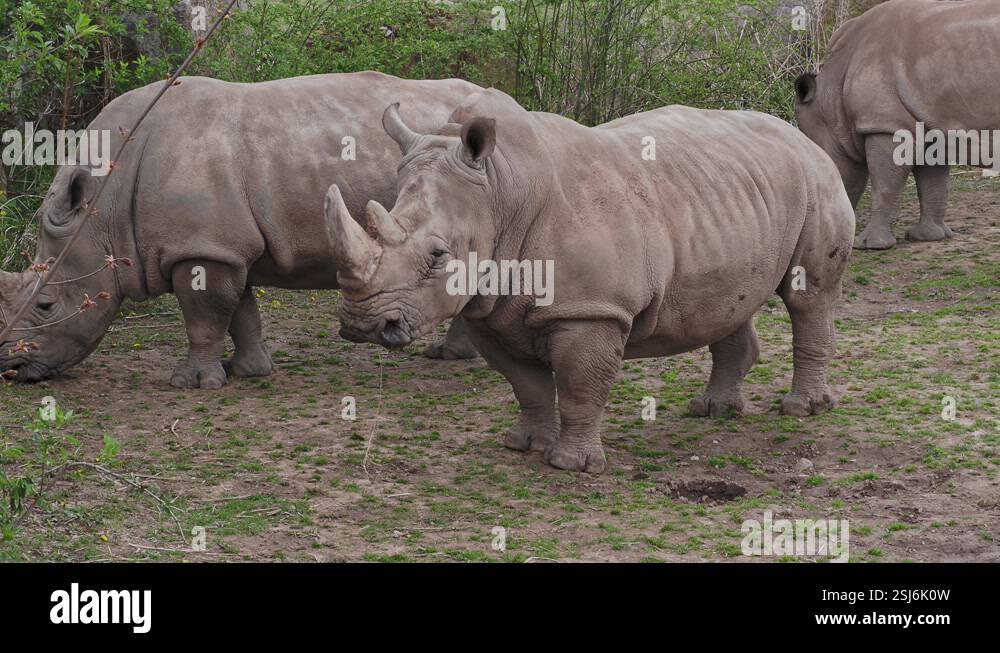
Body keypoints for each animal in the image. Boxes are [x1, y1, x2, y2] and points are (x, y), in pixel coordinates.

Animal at [0, 72, 481, 386]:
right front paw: (248, 371)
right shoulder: (223, 243)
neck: (103, 211)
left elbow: (205, 315)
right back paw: (450, 356)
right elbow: (240, 312)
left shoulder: (203, 247)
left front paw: (192, 382)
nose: (11, 367)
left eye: (45, 305)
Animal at [328, 89, 855, 473]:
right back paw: (712, 411)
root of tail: (799, 135)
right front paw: (523, 445)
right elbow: (527, 385)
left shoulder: (592, 309)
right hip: (734, 198)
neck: (501, 191)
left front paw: (573, 466)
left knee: (808, 297)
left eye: (437, 256)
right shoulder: (489, 306)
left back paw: (802, 410)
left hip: (818, 179)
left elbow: (581, 384)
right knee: (728, 302)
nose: (362, 326)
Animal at [795, 0, 1000, 249]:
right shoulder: (927, 121)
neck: (830, 96)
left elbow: (884, 182)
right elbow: (933, 182)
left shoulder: (885, 123)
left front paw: (869, 245)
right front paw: (928, 236)